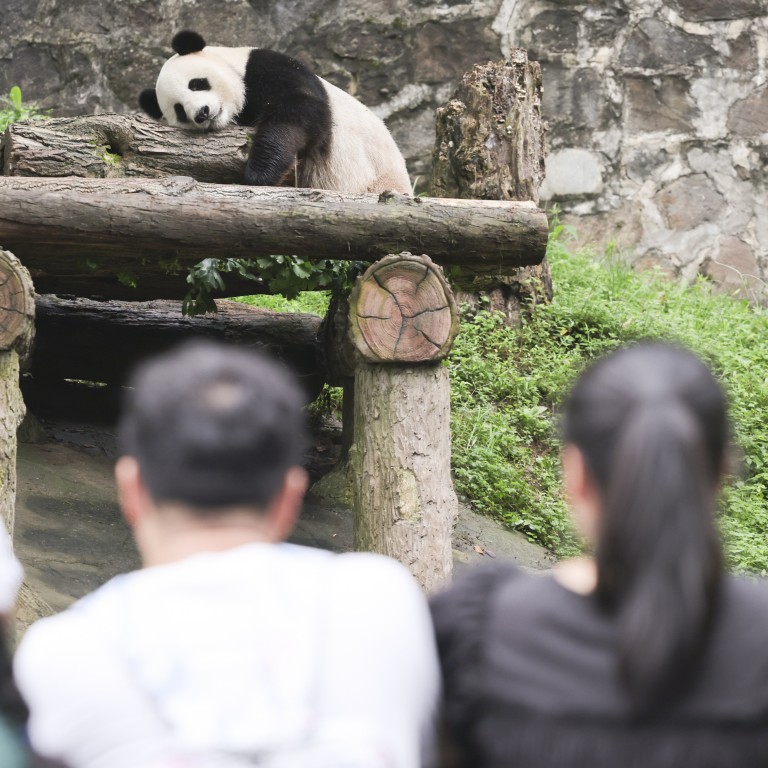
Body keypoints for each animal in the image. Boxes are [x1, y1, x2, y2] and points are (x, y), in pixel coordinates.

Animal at [139, 31, 411, 195]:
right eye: (179, 110)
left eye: (196, 83)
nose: (202, 113)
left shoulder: (267, 67)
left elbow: (298, 113)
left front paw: (259, 172)